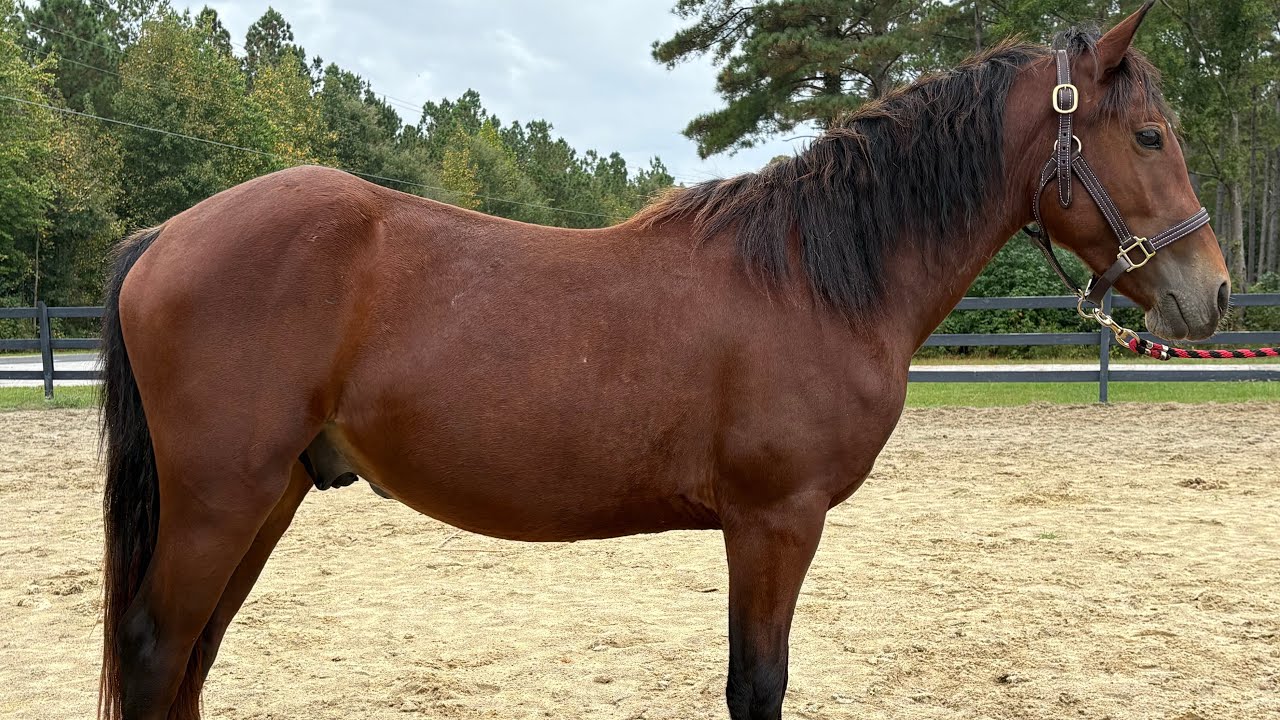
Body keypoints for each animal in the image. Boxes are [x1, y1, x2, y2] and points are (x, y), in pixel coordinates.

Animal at [97, 4, 1229, 719]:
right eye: (1148, 135)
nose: (1211, 294)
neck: (812, 279)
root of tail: (165, 237)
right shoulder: (774, 522)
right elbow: (756, 686)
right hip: (222, 499)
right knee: (157, 657)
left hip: (271, 494)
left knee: (193, 659)